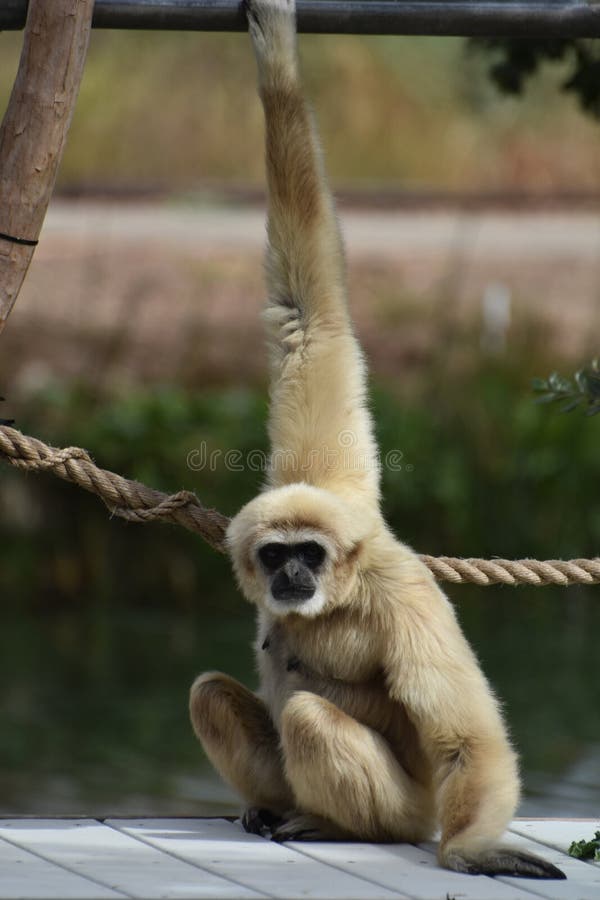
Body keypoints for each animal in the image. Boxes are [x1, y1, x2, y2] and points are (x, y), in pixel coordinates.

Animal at [190, 0, 565, 879]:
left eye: (311, 554)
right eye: (274, 554)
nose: (290, 572)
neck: (339, 594)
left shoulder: (398, 588)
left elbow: (464, 736)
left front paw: (474, 850)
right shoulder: (324, 478)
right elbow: (309, 318)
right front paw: (277, 71)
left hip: (405, 807)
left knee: (309, 719)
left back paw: (337, 826)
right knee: (212, 693)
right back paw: (272, 809)